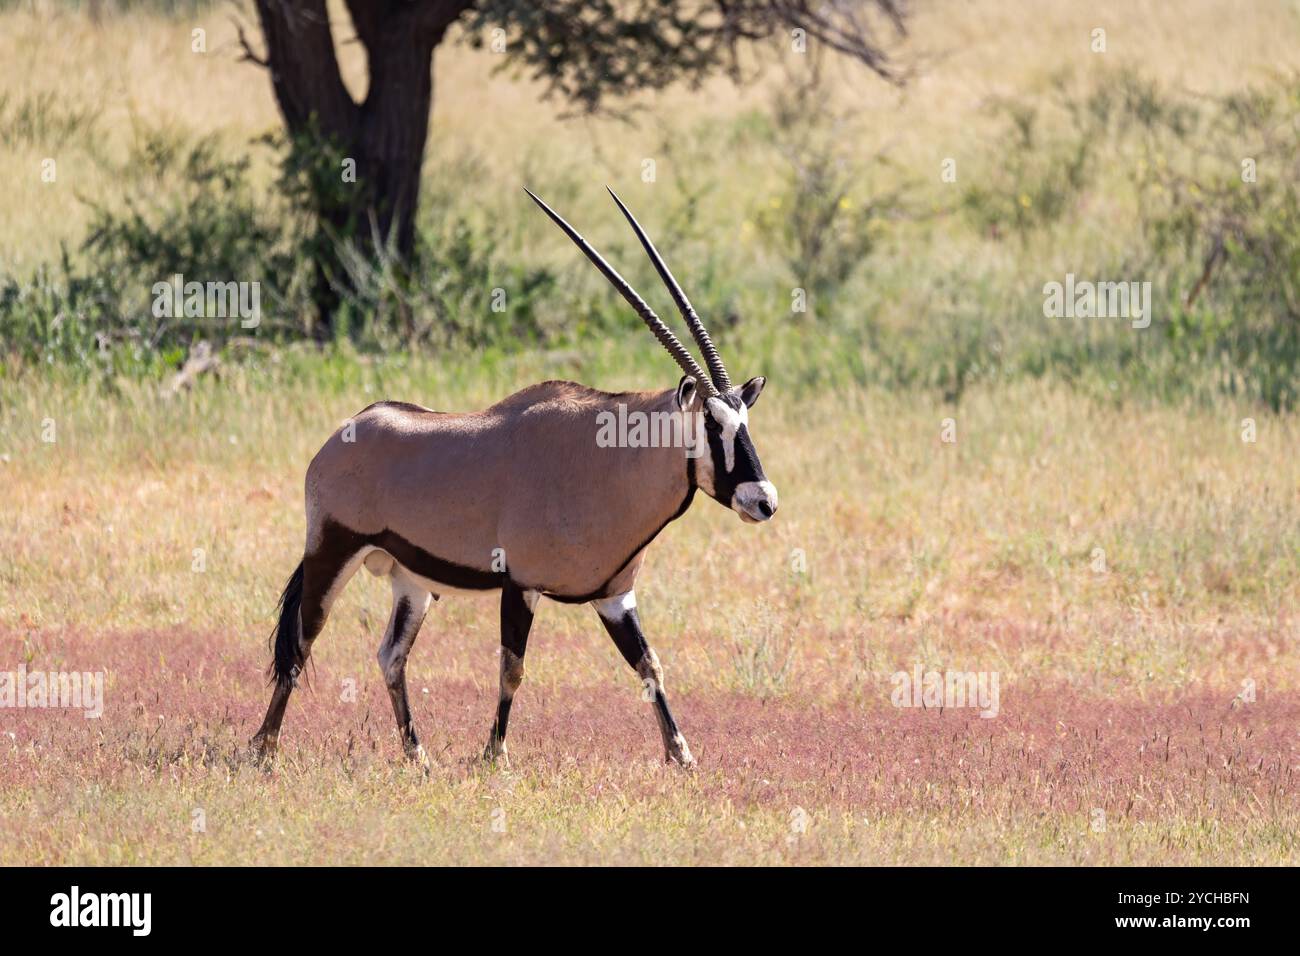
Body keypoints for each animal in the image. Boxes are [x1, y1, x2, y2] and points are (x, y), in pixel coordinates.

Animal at [251, 188, 779, 769]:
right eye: (711, 424)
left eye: (744, 421)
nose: (764, 500)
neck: (608, 459)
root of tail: (345, 432)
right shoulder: (521, 584)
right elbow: (513, 669)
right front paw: (494, 754)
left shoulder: (615, 596)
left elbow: (649, 665)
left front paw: (681, 755)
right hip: (332, 552)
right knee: (300, 645)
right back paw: (265, 749)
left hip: (411, 582)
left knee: (391, 655)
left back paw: (418, 755)